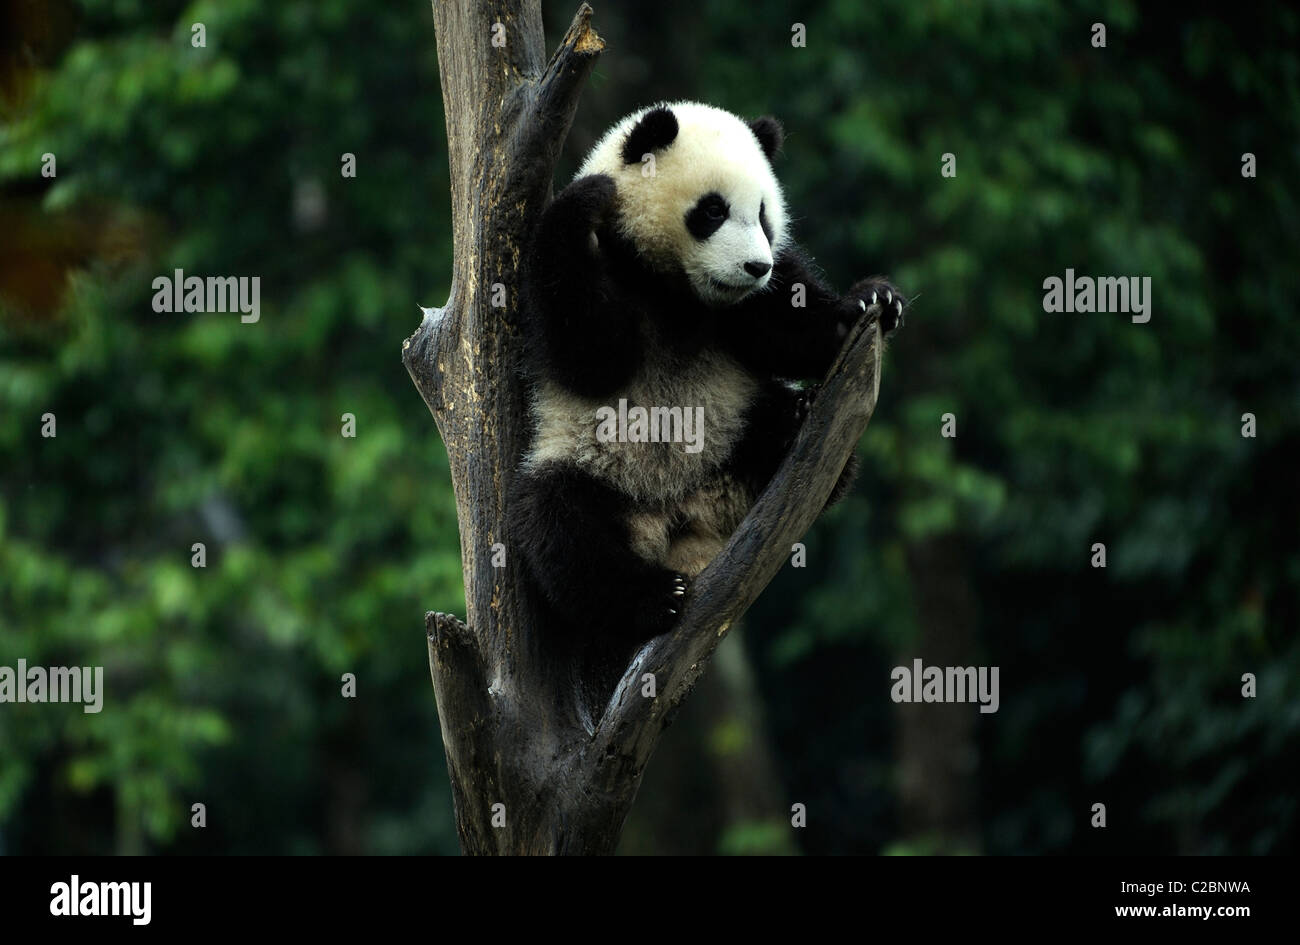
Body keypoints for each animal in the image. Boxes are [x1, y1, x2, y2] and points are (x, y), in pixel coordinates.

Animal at [509, 101, 905, 665]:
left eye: (762, 215)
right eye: (713, 211)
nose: (754, 266)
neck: (676, 288)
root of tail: (686, 521)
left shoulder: (752, 301)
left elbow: (786, 324)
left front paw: (873, 301)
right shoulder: (596, 272)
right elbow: (589, 354)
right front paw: (583, 201)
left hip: (733, 434)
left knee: (811, 453)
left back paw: (794, 422)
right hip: (590, 463)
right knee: (559, 525)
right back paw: (656, 597)